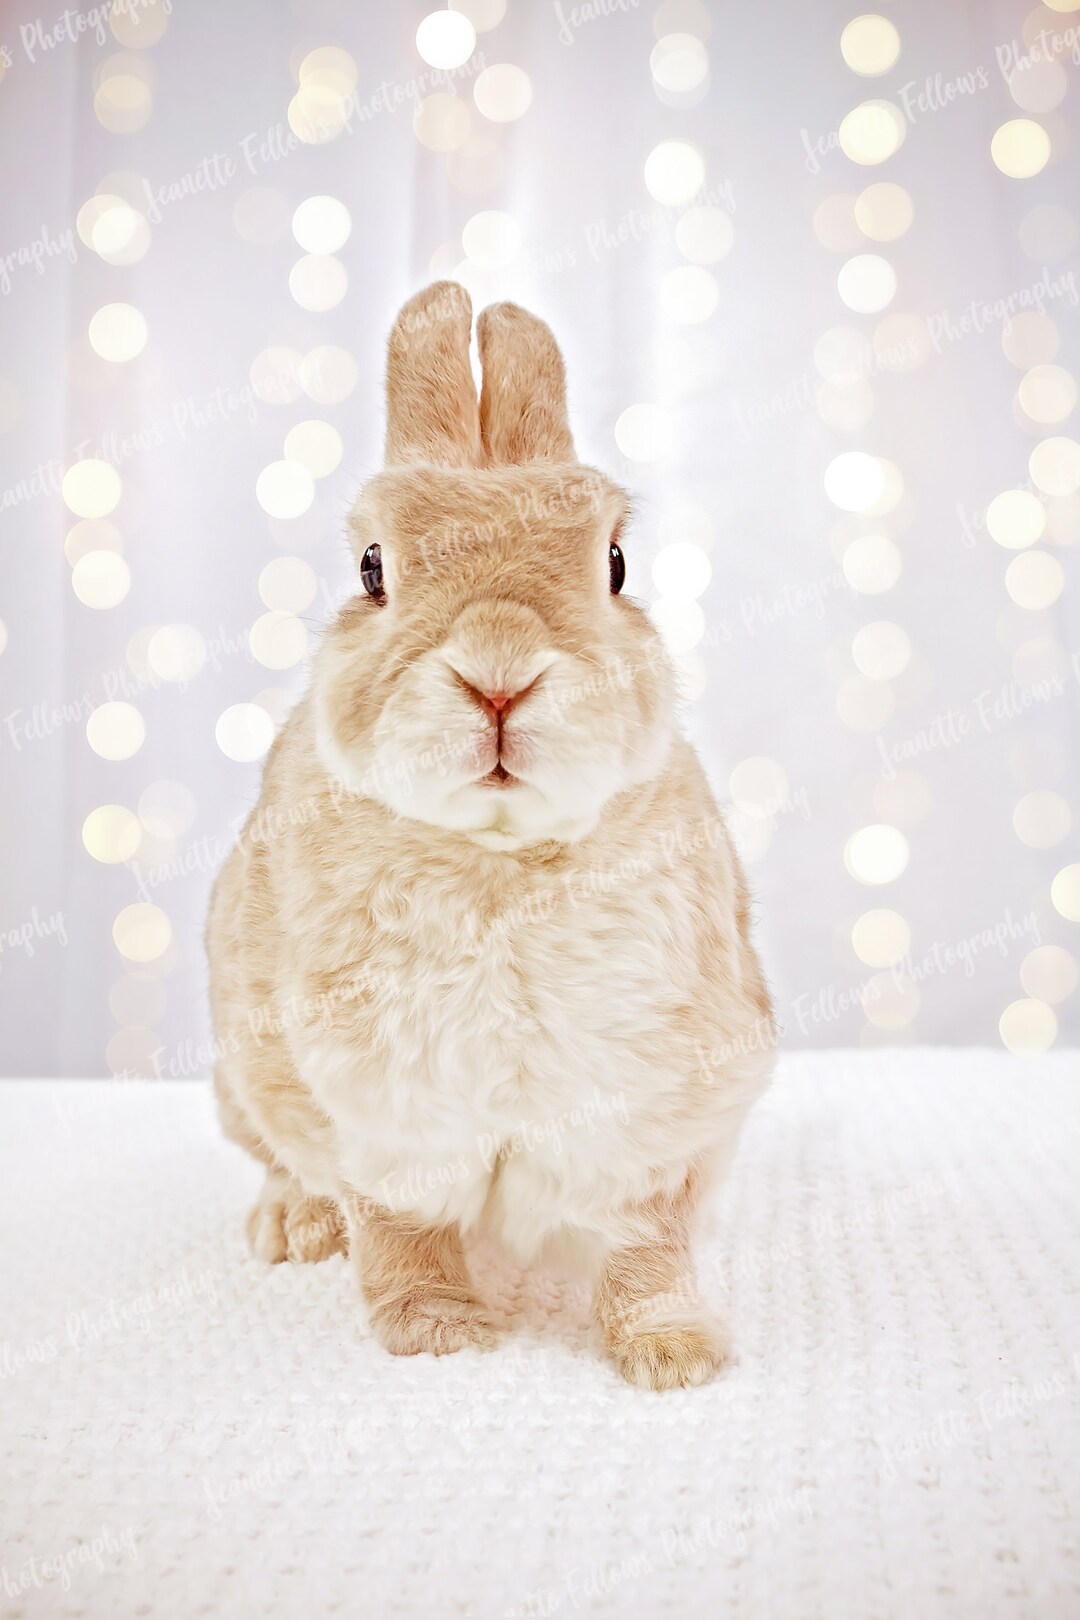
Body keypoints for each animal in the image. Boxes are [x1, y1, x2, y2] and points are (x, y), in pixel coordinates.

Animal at [206, 281, 776, 1390]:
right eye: (372, 567)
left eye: (615, 562)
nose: (499, 670)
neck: (500, 858)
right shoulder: (386, 1118)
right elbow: (405, 1233)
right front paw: (438, 1335)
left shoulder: (652, 1115)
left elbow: (647, 1247)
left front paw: (675, 1355)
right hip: (240, 1077)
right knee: (282, 1164)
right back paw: (294, 1228)